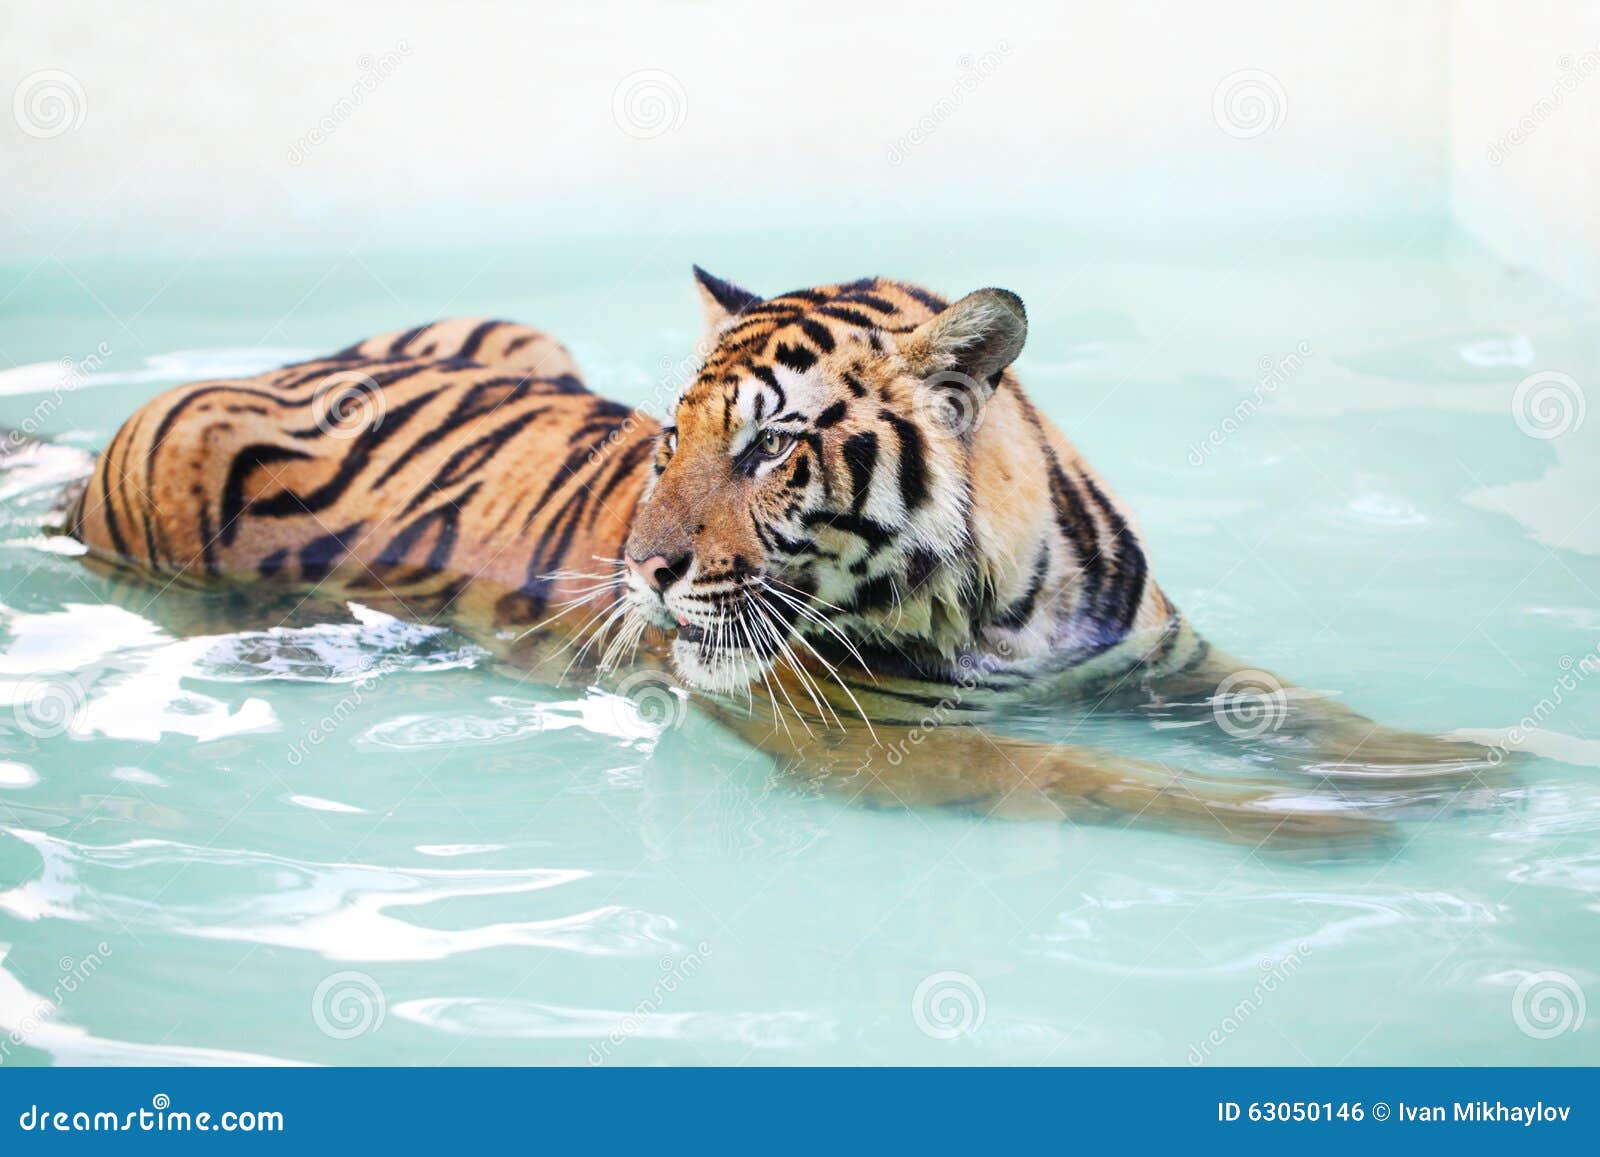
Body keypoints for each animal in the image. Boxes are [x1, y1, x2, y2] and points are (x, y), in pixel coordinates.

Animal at [63, 268, 1502, 847]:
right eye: (669, 442)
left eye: (766, 450)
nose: (640, 572)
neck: (1006, 610)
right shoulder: (866, 740)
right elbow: (1084, 774)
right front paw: (1307, 822)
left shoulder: (1162, 661)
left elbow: (1313, 713)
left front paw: (1467, 767)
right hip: (183, 461)